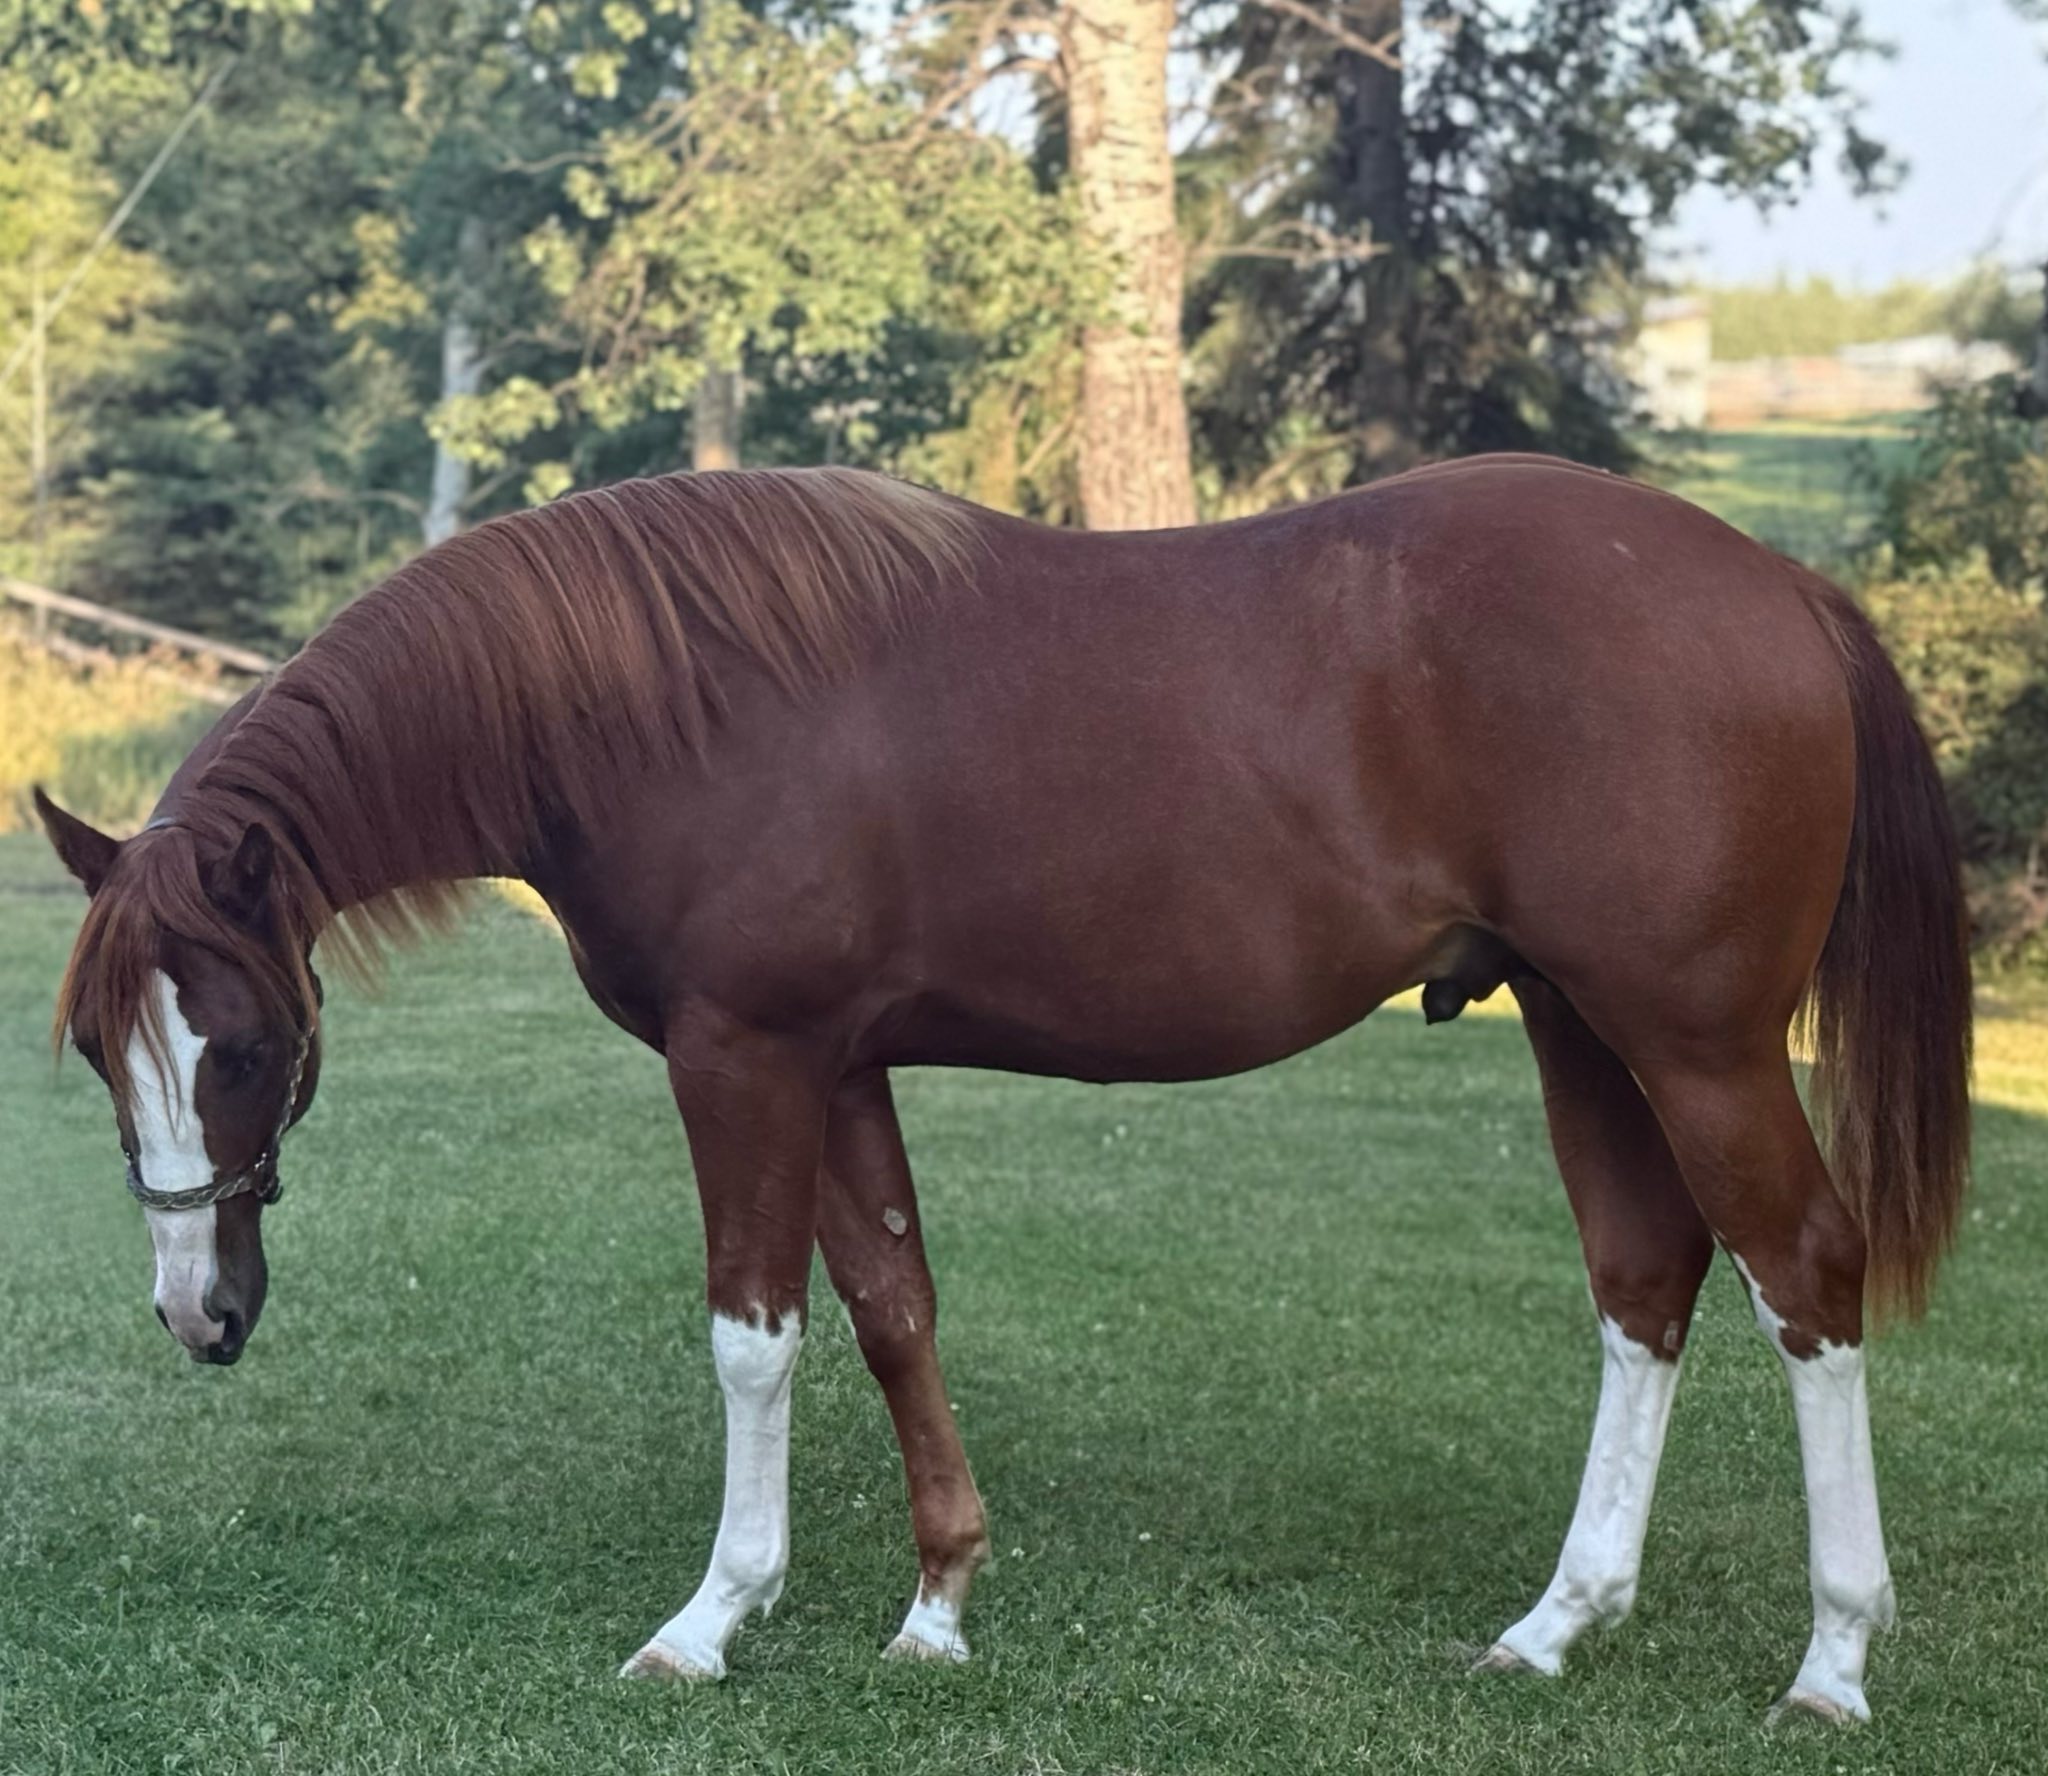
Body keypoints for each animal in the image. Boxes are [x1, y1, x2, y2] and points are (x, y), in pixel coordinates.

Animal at [37, 455, 1970, 1725]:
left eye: (243, 1046)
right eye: (94, 1053)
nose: (197, 1312)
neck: (659, 705)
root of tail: (1779, 589)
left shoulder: (744, 1057)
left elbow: (755, 1335)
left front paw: (712, 1618)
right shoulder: (838, 1063)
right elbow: (891, 1309)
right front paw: (937, 1605)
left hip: (1698, 1046)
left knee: (1805, 1279)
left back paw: (1832, 1659)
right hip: (1581, 1027)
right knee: (1646, 1282)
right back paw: (1559, 1623)